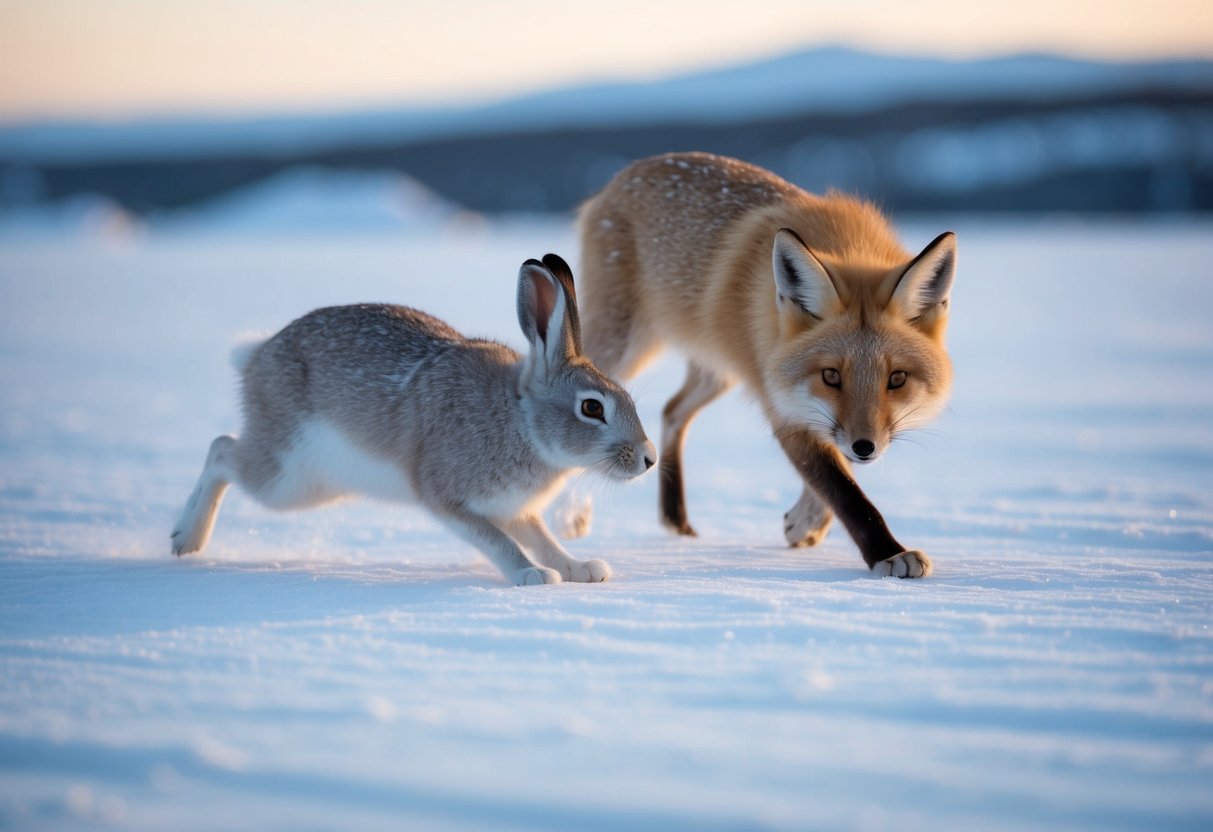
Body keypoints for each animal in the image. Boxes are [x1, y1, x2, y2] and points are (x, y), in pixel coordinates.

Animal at [170, 253, 656, 586]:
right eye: (592, 408)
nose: (649, 458)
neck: (520, 420)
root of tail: (257, 356)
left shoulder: (515, 507)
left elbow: (544, 540)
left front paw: (582, 569)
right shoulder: (447, 496)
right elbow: (498, 542)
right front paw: (531, 577)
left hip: (316, 485)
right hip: (286, 476)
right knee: (222, 451)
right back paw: (185, 538)